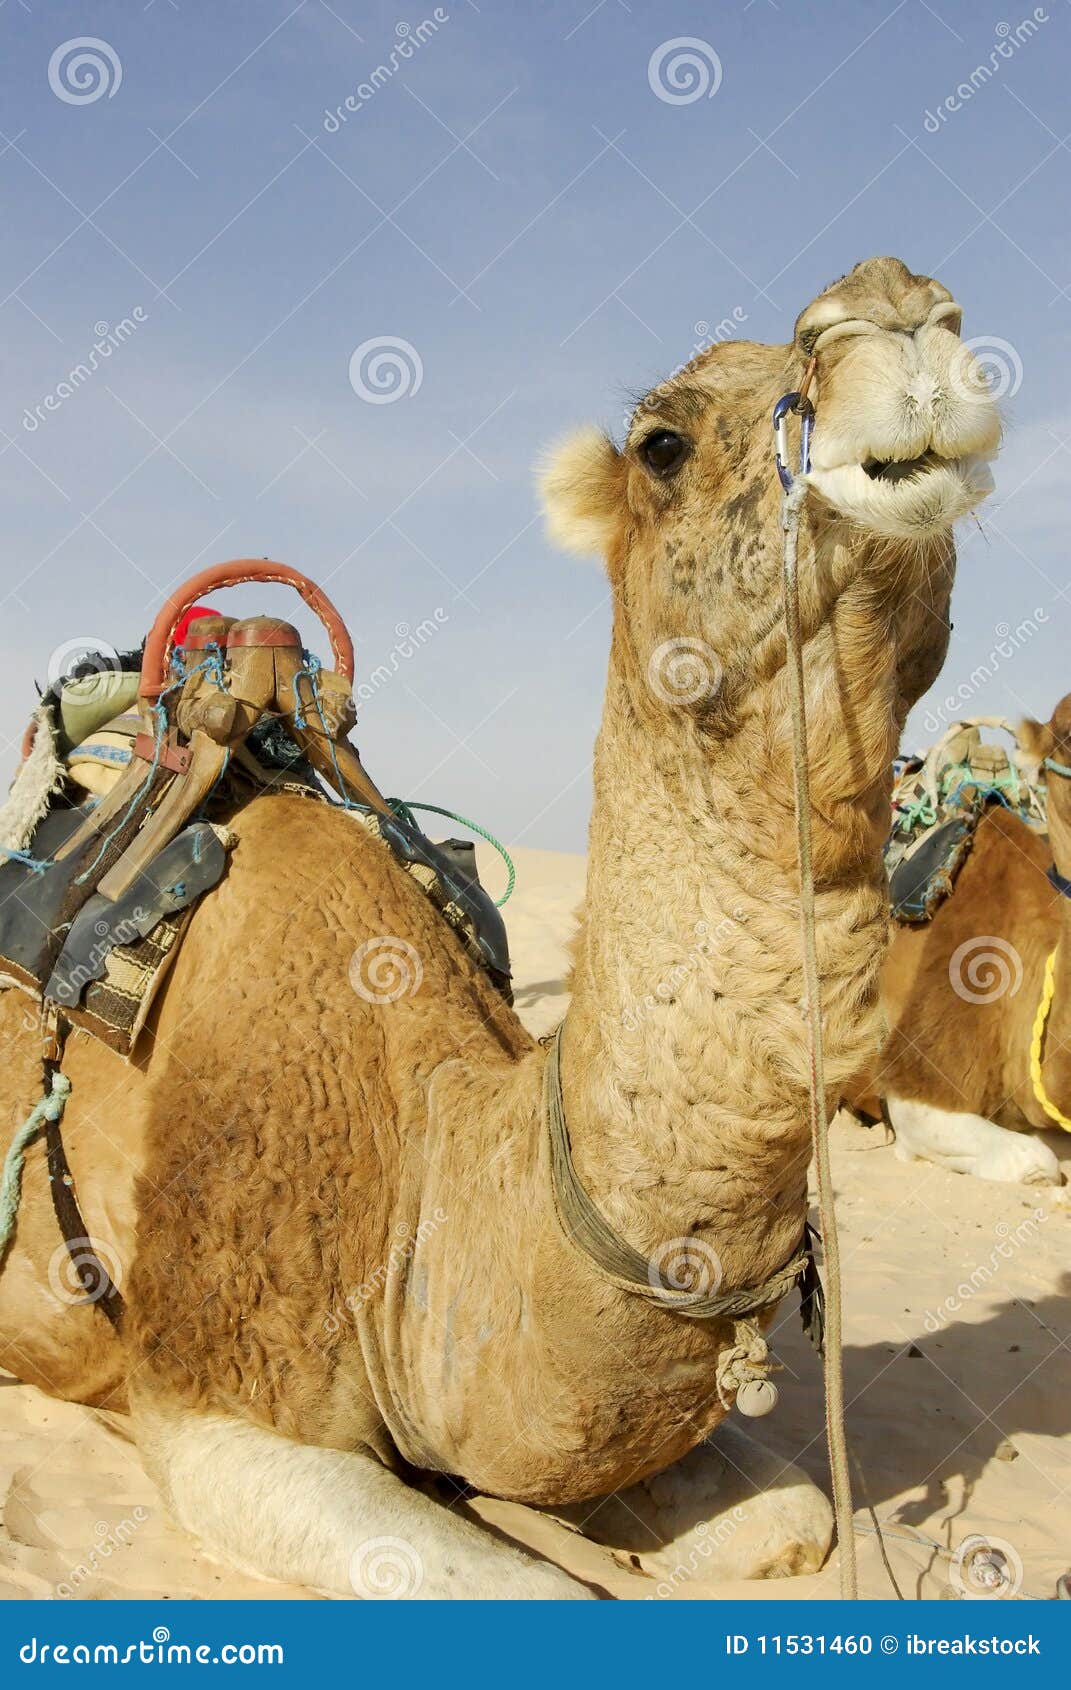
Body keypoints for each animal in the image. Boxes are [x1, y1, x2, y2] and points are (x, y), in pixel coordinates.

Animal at [0, 257, 1000, 1599]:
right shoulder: (218, 1395)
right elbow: (533, 1585)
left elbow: (797, 1519)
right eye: (662, 443)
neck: (431, 1164)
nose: (896, 306)